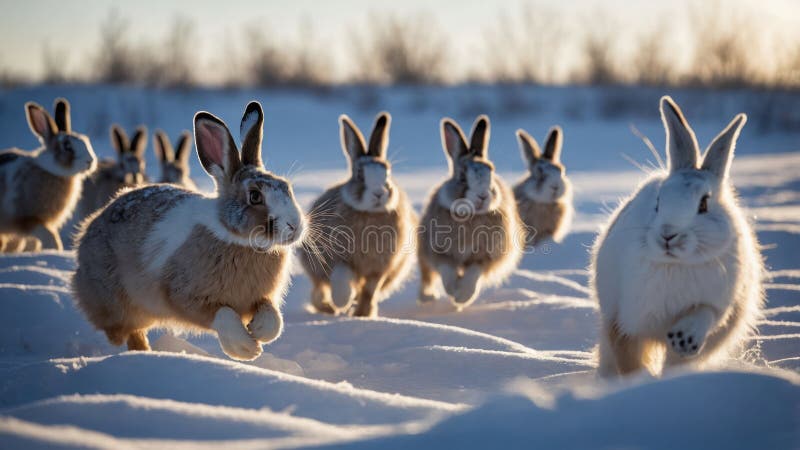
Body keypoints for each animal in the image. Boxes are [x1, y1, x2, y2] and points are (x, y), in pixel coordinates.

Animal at [0, 98, 97, 250]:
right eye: (67, 146)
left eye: (85, 140)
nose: (90, 161)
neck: (53, 171)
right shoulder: (29, 220)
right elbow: (50, 236)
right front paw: (55, 250)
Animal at [72, 101, 306, 361]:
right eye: (255, 196)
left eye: (287, 187)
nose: (295, 226)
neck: (235, 236)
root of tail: (88, 230)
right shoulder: (185, 296)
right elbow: (223, 315)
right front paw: (246, 349)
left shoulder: (261, 298)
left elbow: (272, 316)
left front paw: (259, 330)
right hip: (117, 301)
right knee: (124, 331)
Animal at [298, 112, 416, 317]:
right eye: (360, 175)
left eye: (388, 174)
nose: (379, 193)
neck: (370, 212)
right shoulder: (339, 258)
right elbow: (341, 277)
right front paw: (343, 302)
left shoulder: (379, 269)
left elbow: (370, 291)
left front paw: (363, 314)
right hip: (315, 265)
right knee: (318, 291)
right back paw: (330, 308)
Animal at [418, 115, 524, 310]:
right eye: (462, 177)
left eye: (491, 173)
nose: (482, 196)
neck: (471, 216)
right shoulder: (438, 251)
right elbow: (447, 271)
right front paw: (453, 290)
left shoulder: (486, 256)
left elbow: (474, 274)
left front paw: (462, 296)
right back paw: (427, 298)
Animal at [591, 96, 764, 378]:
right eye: (658, 202)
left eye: (703, 204)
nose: (667, 235)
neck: (677, 263)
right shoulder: (626, 321)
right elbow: (628, 356)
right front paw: (637, 381)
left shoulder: (719, 302)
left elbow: (706, 313)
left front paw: (684, 338)